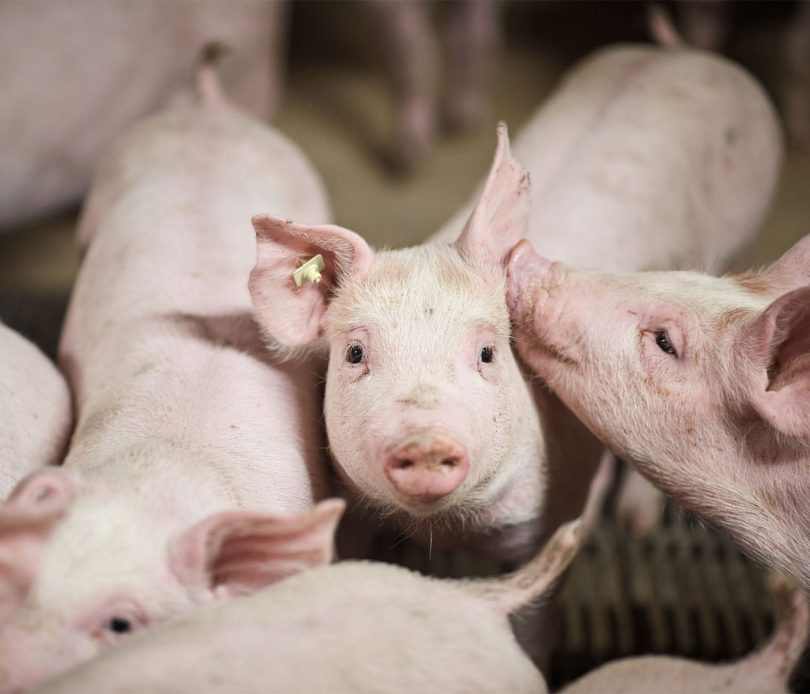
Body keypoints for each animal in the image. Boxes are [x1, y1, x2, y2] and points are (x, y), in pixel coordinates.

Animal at [249, 43, 782, 559]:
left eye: (488, 352)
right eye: (355, 353)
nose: (424, 440)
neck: (445, 530)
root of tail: (681, 52)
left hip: (746, 232)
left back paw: (637, 524)